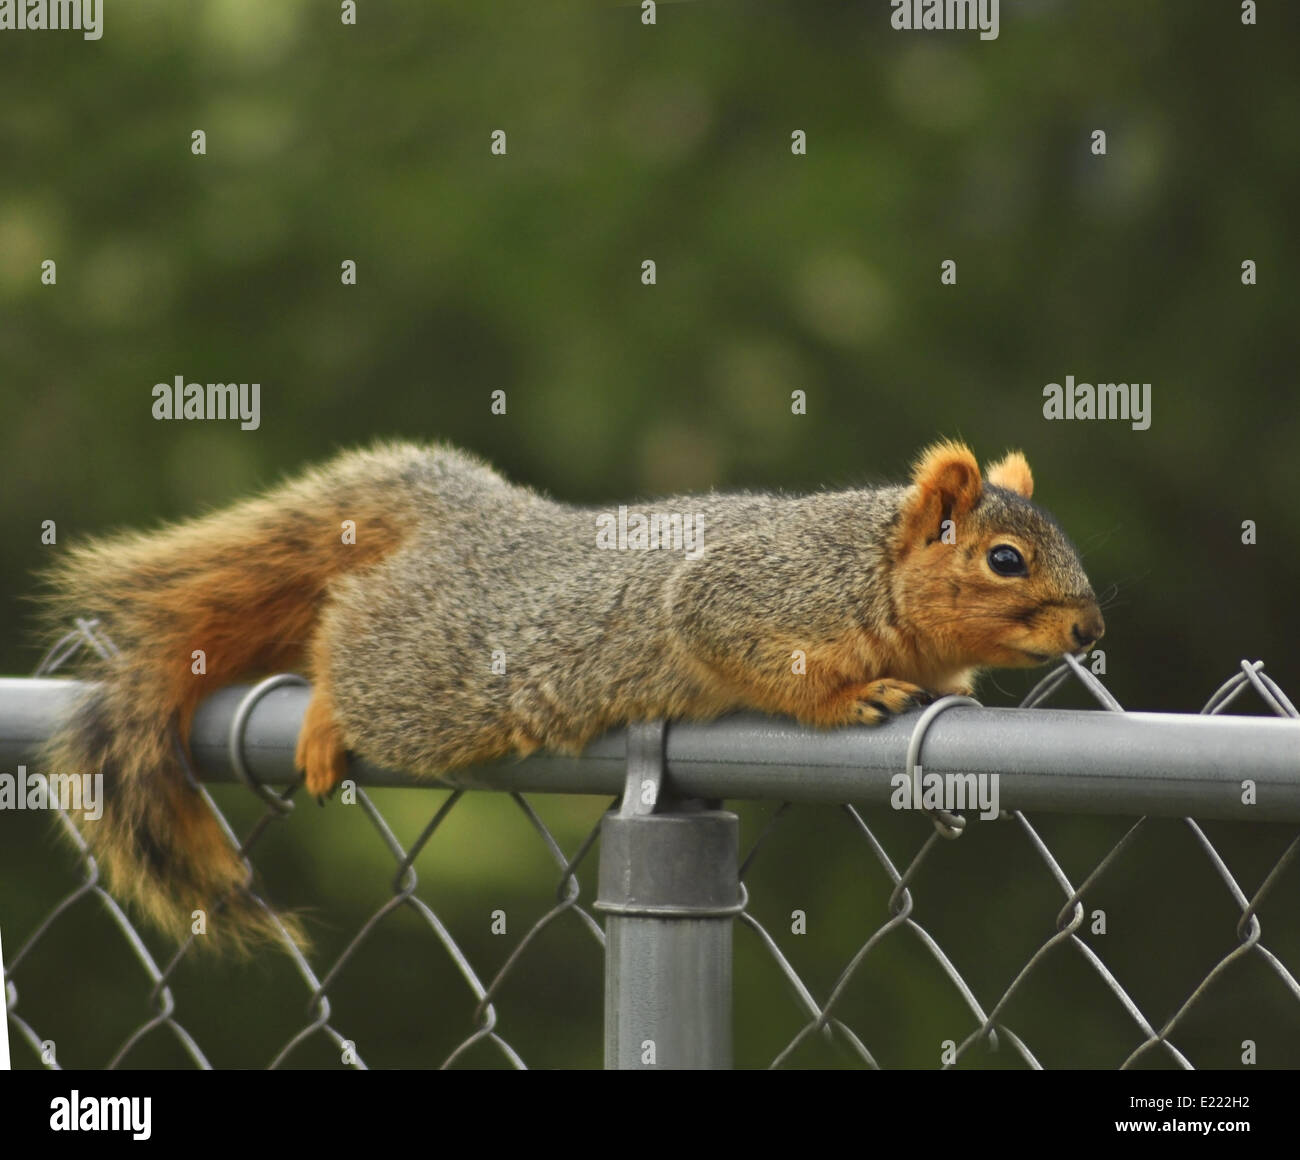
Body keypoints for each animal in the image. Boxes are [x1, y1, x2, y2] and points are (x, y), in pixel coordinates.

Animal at [37, 438, 1103, 951]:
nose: (1091, 631)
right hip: (432, 676)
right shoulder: (751, 593)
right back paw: (330, 710)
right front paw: (851, 699)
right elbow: (737, 643)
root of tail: (482, 523)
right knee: (349, 630)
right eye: (1005, 559)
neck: (871, 564)